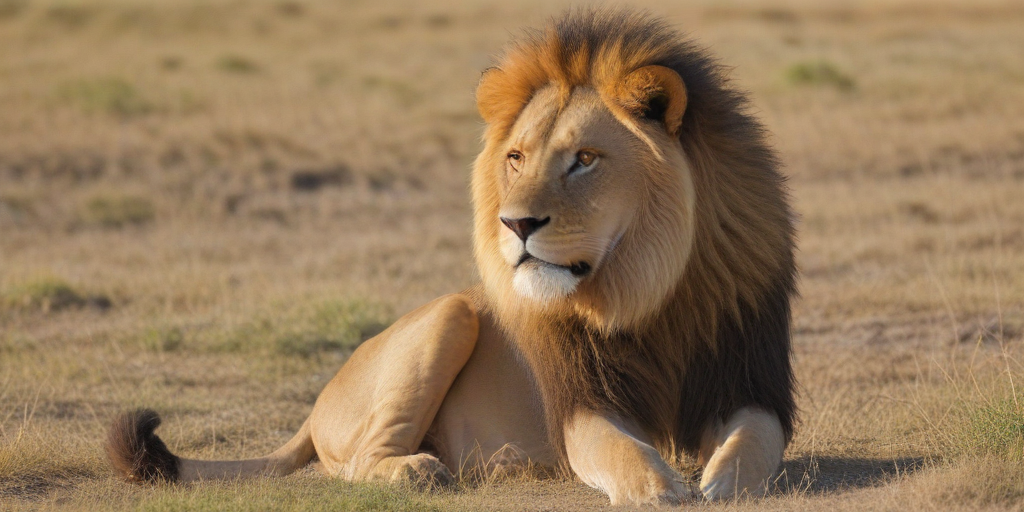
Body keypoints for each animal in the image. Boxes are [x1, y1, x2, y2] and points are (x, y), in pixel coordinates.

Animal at [106, 10, 797, 505]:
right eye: (516, 158)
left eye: (585, 159)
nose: (516, 223)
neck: (648, 293)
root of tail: (317, 402)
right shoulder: (581, 401)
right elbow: (616, 451)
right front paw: (659, 487)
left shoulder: (749, 378)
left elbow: (756, 442)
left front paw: (720, 480)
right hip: (450, 314)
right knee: (354, 464)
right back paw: (422, 471)